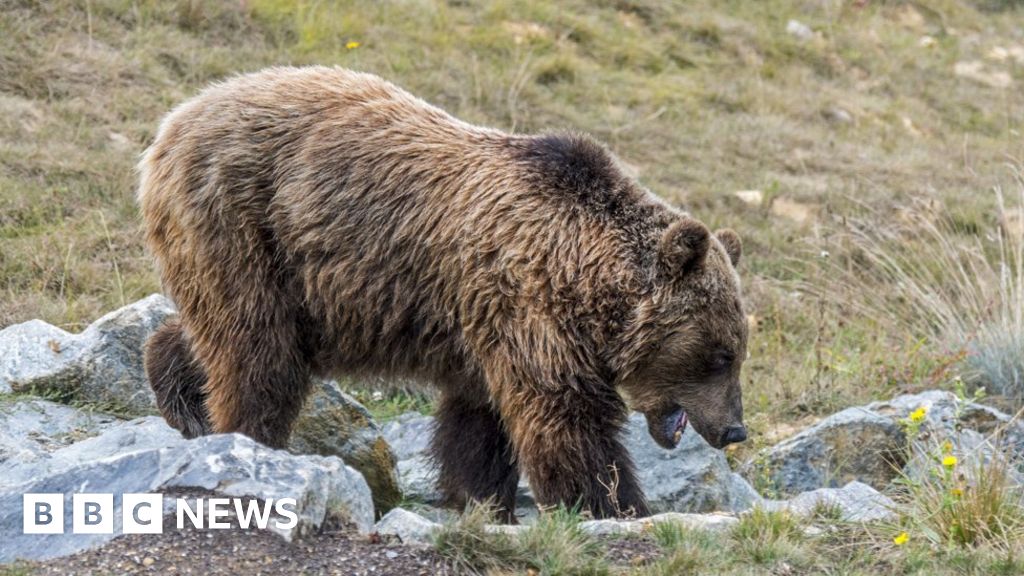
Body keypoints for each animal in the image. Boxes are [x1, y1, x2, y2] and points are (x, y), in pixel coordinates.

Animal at [139, 66, 749, 520]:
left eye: (738, 352)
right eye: (721, 354)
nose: (734, 429)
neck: (584, 277)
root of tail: (175, 119)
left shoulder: (483, 325)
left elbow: (479, 423)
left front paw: (484, 501)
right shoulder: (527, 307)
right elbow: (567, 418)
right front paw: (615, 504)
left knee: (221, 333)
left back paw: (181, 397)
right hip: (242, 222)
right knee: (258, 350)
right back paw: (246, 438)